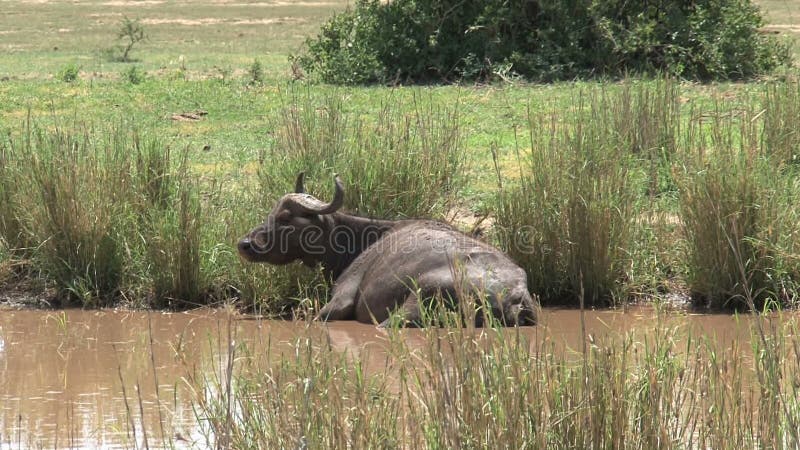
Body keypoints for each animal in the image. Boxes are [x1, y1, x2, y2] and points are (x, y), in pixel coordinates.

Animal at [238, 173, 538, 327]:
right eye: (272, 212)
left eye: (286, 218)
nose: (245, 244)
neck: (359, 242)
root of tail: (515, 294)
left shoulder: (339, 302)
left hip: (414, 302)